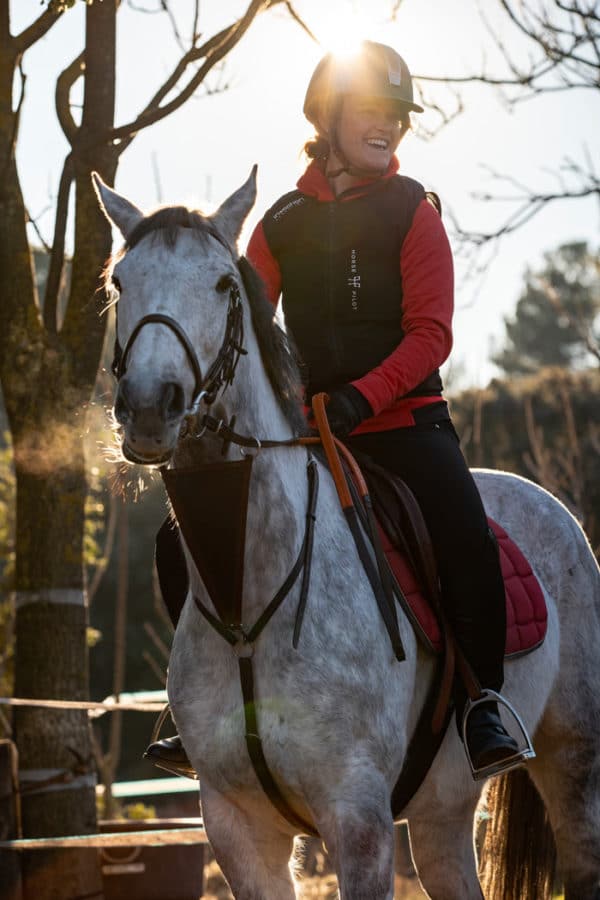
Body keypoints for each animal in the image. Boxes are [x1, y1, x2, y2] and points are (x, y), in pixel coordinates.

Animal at [93, 169, 600, 900]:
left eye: (222, 284)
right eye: (120, 280)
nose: (150, 409)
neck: (251, 610)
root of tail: (554, 507)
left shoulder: (357, 820)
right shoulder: (237, 829)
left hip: (573, 765)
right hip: (443, 813)